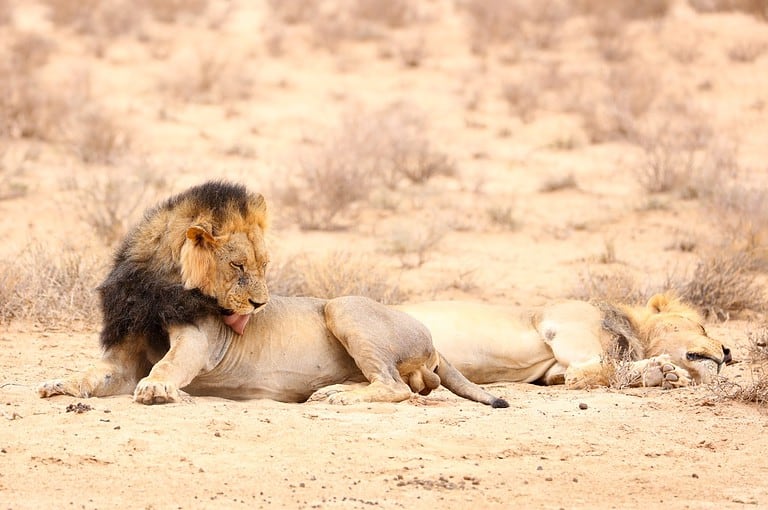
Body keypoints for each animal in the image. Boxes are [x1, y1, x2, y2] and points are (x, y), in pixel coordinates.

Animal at [38, 181, 508, 408]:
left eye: (264, 265)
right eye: (238, 266)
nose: (261, 305)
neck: (158, 286)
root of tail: (431, 340)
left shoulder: (198, 341)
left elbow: (169, 364)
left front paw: (157, 388)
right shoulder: (122, 355)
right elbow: (91, 373)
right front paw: (59, 382)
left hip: (343, 307)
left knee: (396, 387)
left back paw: (337, 395)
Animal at [398, 294, 732, 389]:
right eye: (702, 326)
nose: (728, 352)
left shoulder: (551, 371)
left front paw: (663, 374)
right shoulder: (563, 326)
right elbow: (587, 371)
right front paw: (659, 371)